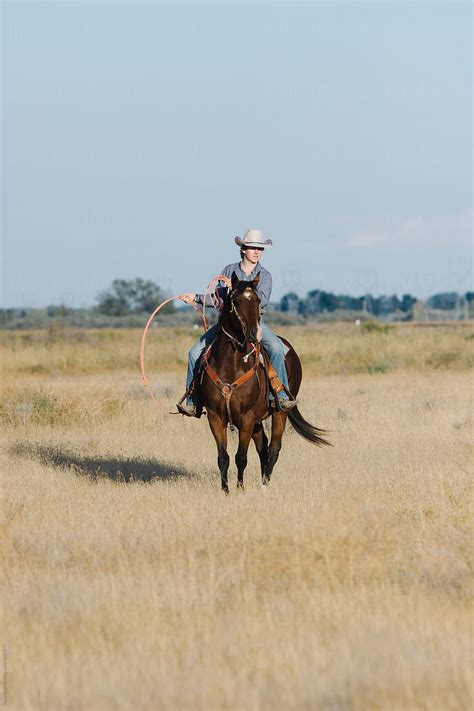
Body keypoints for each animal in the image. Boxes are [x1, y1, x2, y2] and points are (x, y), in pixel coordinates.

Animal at [197, 271, 330, 493]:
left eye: (258, 300)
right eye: (237, 301)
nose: (255, 333)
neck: (231, 365)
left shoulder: (247, 417)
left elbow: (241, 457)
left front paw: (240, 489)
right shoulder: (216, 416)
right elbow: (223, 457)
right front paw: (225, 491)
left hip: (279, 413)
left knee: (274, 447)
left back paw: (265, 484)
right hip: (259, 420)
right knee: (263, 447)